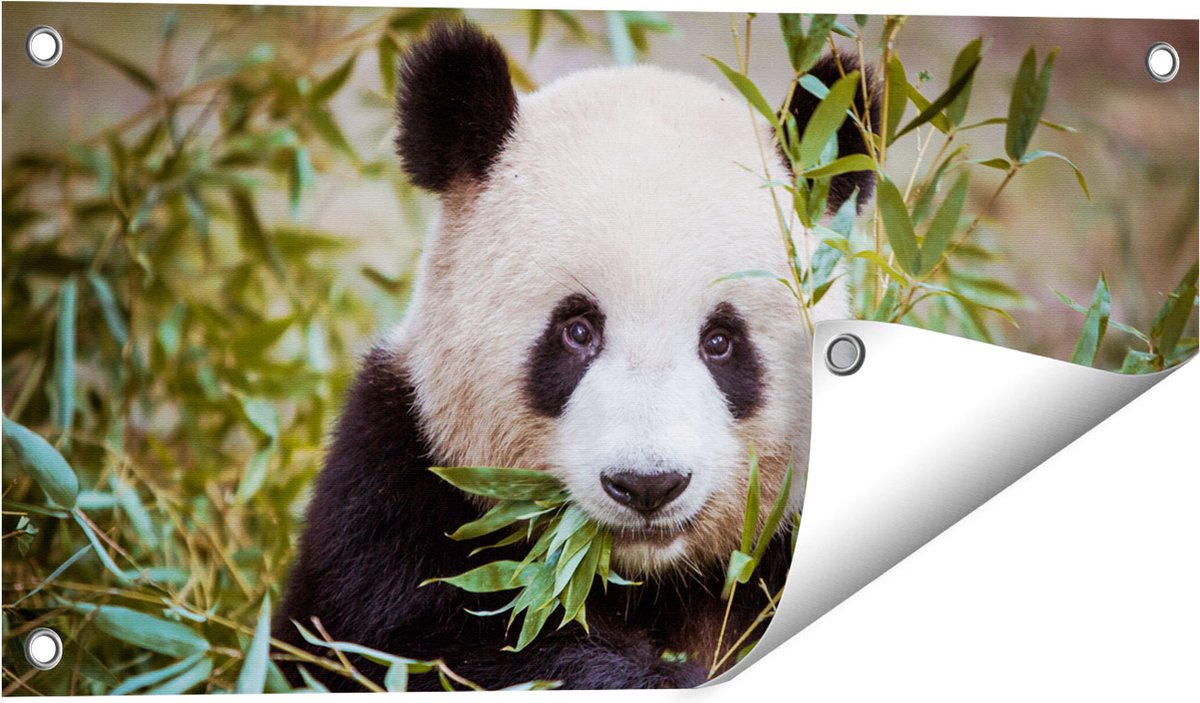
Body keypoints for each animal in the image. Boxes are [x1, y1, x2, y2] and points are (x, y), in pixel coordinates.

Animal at [276, 21, 877, 691]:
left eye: (721, 341)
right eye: (578, 331)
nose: (647, 484)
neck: (637, 577)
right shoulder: (395, 483)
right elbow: (414, 643)